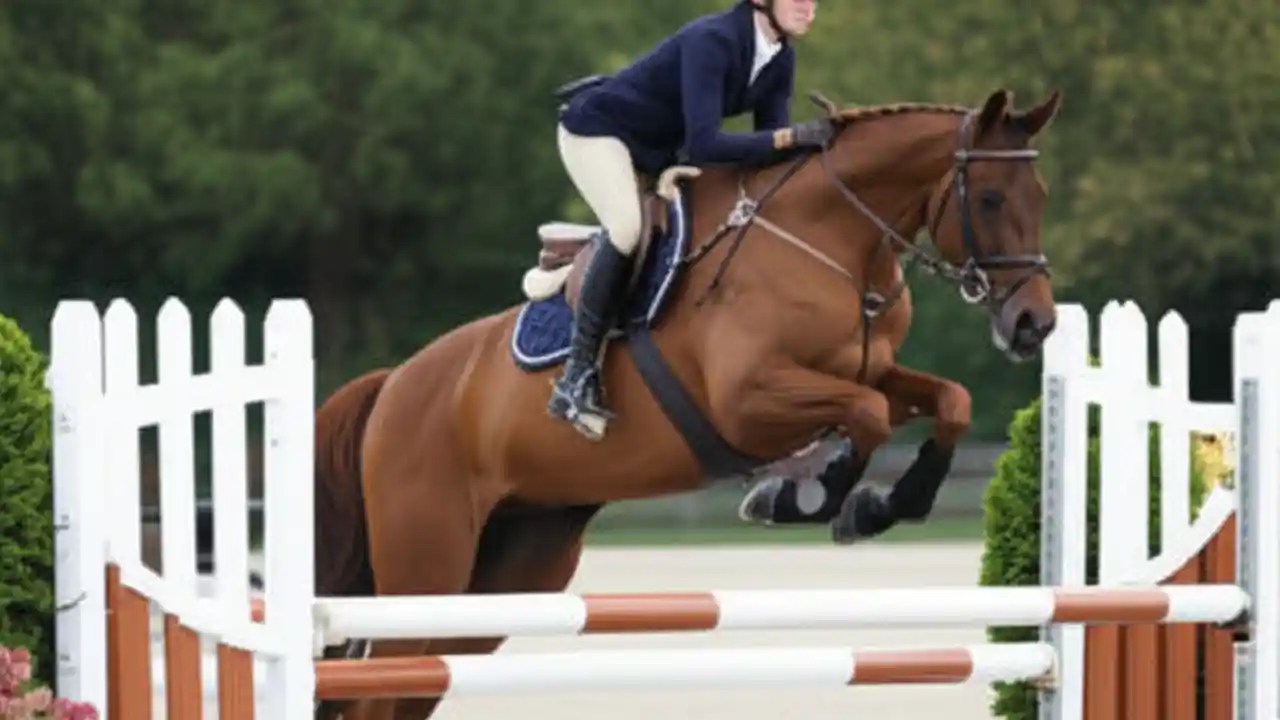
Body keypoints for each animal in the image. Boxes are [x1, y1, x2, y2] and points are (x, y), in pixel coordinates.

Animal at [312, 86, 1063, 719]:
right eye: (989, 199)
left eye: (1041, 193)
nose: (1034, 324)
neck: (831, 243)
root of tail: (393, 385)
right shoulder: (748, 401)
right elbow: (866, 417)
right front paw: (805, 500)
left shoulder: (873, 372)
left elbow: (949, 401)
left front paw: (880, 505)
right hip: (427, 561)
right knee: (376, 685)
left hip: (510, 573)